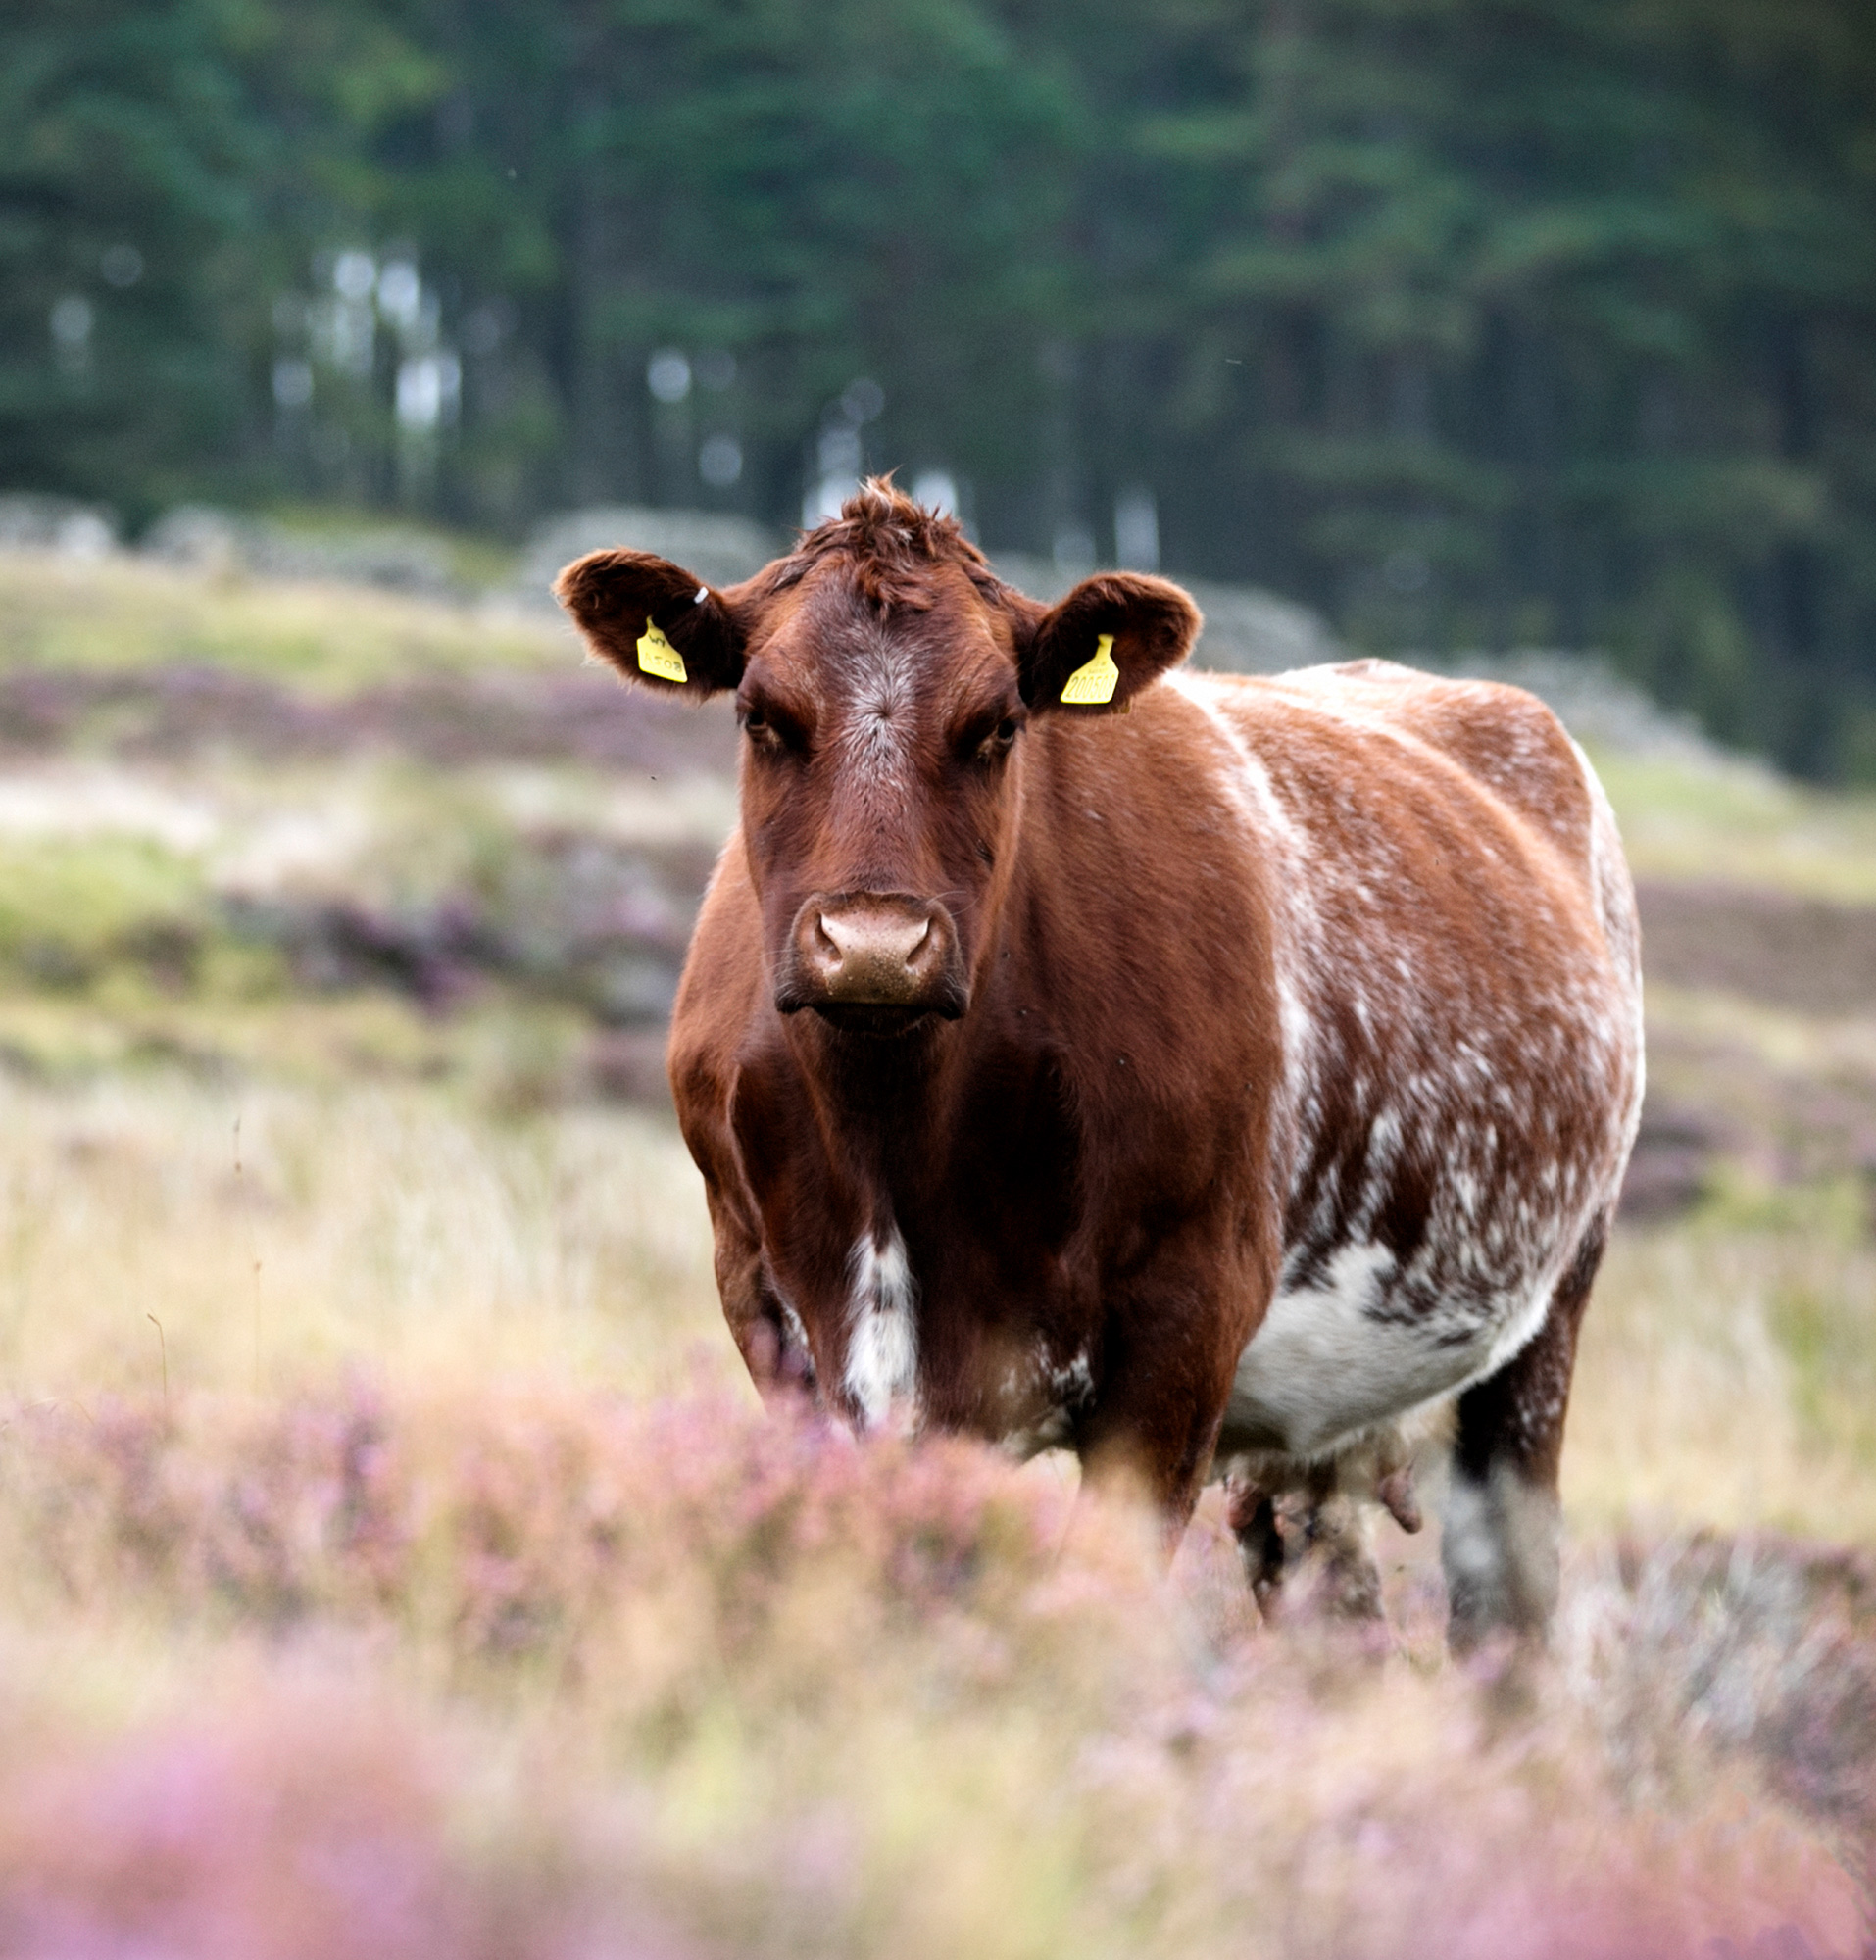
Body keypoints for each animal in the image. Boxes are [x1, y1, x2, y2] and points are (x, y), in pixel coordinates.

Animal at [555, 483, 1644, 1643]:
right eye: (763, 714)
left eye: (997, 726)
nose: (876, 944)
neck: (893, 1141)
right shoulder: (777, 1314)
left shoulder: (1184, 1330)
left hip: (1543, 1334)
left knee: (1507, 1606)